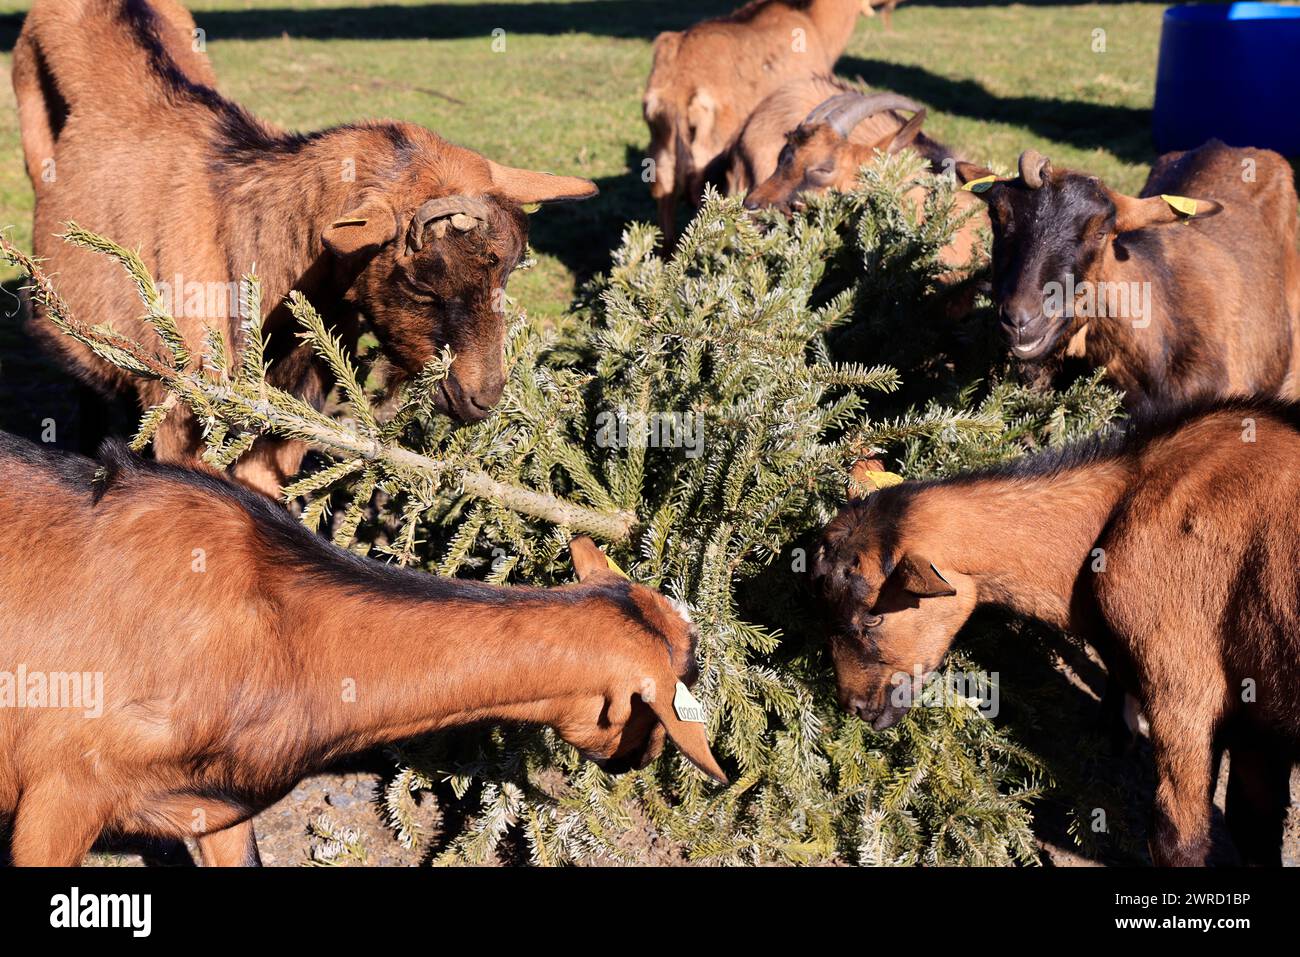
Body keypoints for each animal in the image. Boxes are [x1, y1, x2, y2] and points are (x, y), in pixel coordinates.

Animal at [812, 397, 1300, 866]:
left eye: (872, 617)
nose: (854, 705)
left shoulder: (1185, 687)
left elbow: (1180, 840)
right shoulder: (1258, 727)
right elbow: (1254, 831)